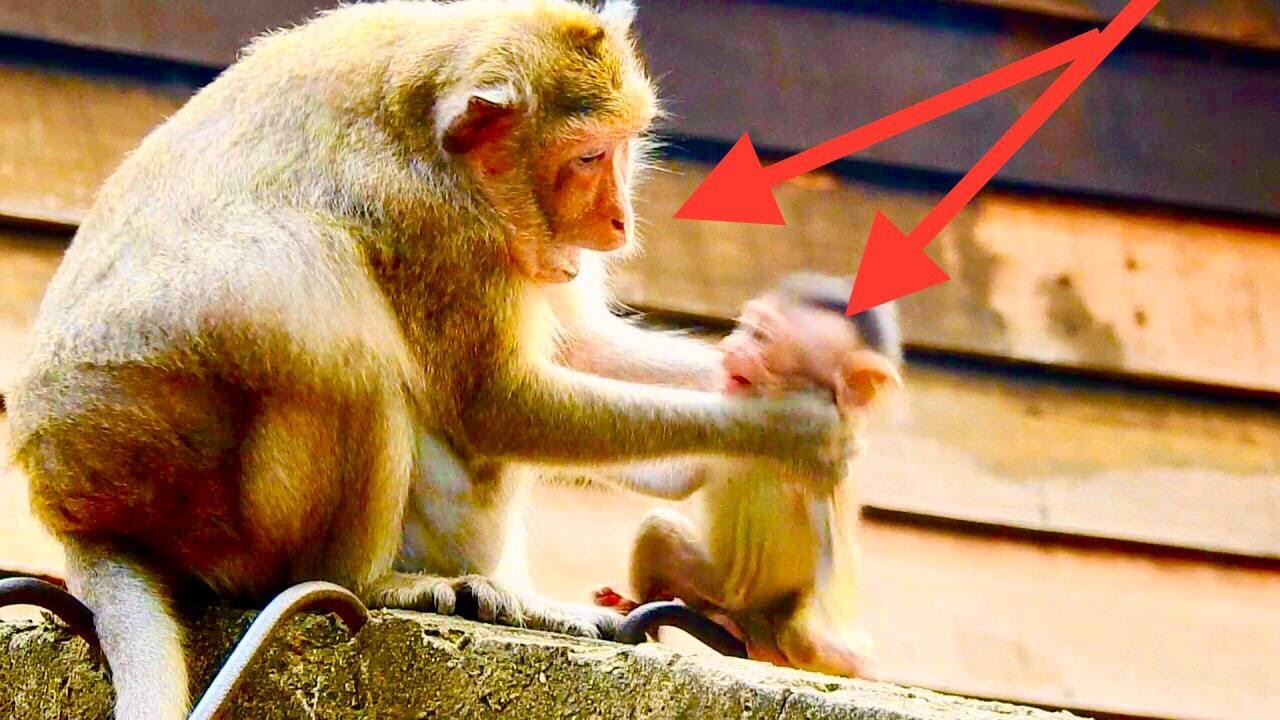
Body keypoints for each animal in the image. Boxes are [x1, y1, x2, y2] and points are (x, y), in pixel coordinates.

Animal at [5, 3, 847, 717]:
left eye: (623, 151)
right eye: (586, 158)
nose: (618, 223)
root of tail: (74, 506)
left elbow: (577, 344)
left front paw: (804, 386)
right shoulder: (438, 223)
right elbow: (495, 406)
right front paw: (783, 432)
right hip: (221, 527)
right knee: (328, 320)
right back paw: (371, 582)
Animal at [594, 275, 903, 678]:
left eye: (761, 337)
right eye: (744, 327)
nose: (730, 347)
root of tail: (752, 627)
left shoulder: (825, 462)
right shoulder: (723, 422)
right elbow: (671, 482)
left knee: (801, 638)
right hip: (714, 586)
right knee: (658, 530)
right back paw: (651, 606)